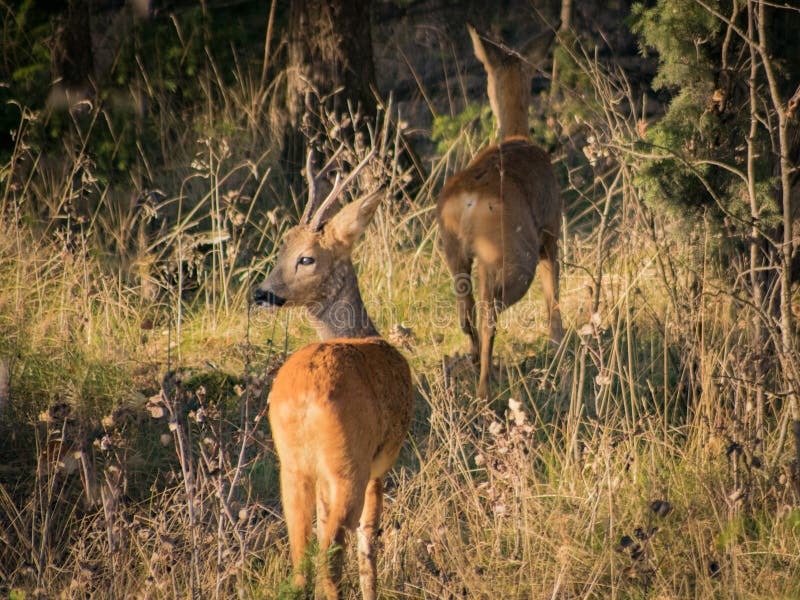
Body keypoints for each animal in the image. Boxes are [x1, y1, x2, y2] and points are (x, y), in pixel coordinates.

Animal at [253, 140, 413, 599]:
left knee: (300, 561)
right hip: (347, 466)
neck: (365, 332)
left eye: (303, 257)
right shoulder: (382, 461)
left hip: (291, 468)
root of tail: (304, 403)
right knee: (330, 558)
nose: (262, 293)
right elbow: (369, 538)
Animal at [437, 22, 562, 399]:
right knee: (489, 311)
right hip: (512, 253)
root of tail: (469, 200)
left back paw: (477, 366)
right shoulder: (552, 230)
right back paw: (484, 389)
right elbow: (554, 294)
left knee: (466, 312)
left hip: (454, 250)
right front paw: (559, 346)